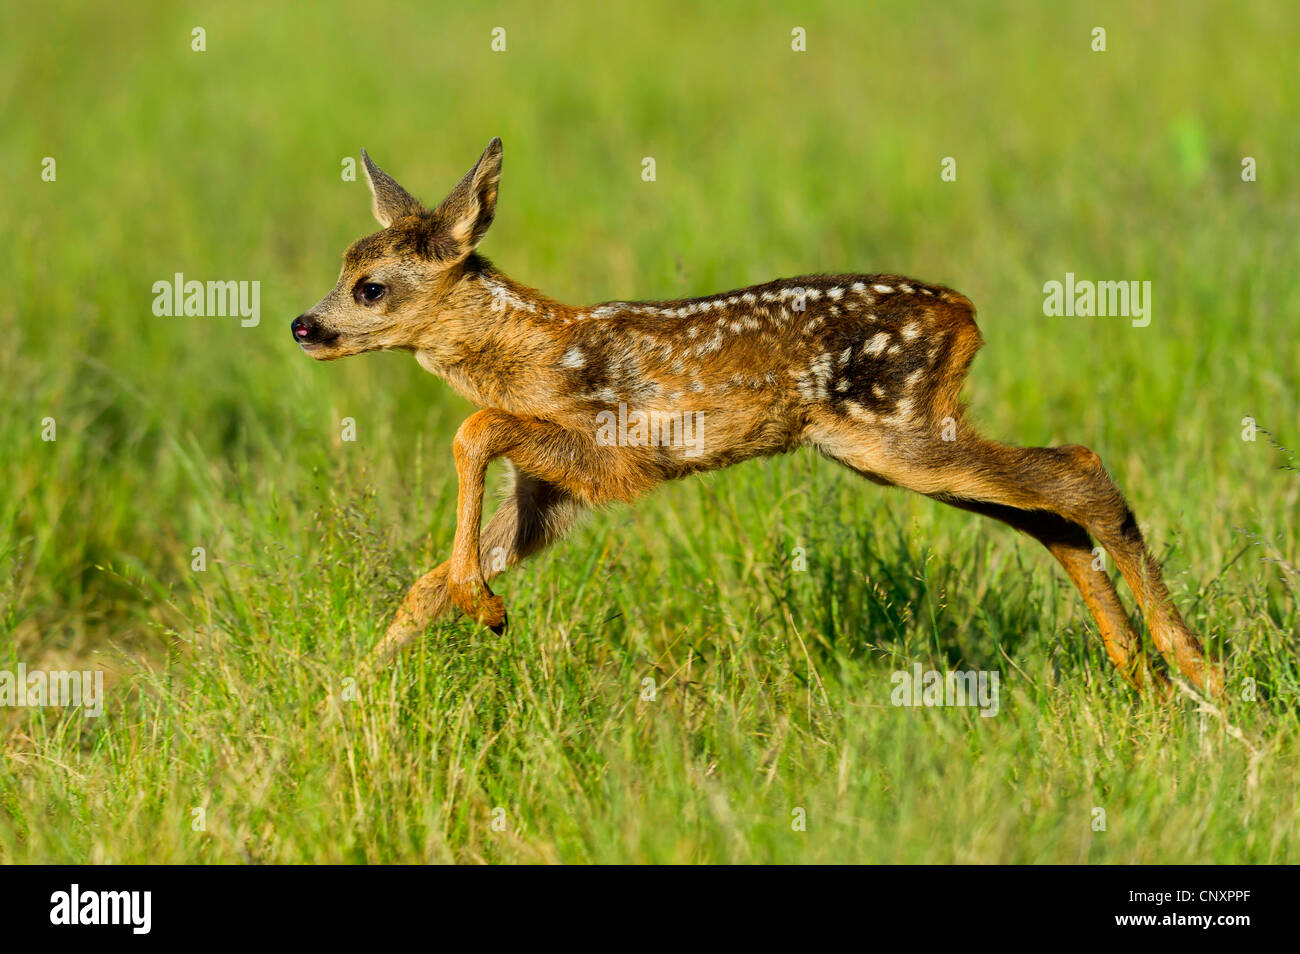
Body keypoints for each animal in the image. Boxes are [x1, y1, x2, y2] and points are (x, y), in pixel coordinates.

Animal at [291, 138, 1224, 698]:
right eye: (340, 266)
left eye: (370, 287)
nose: (304, 325)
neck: (536, 352)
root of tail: (965, 314)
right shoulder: (552, 495)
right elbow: (426, 580)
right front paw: (345, 697)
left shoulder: (615, 454)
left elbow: (472, 429)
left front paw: (484, 609)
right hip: (898, 440)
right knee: (1048, 511)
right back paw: (1141, 672)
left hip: (896, 431)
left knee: (1076, 471)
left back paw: (1196, 671)